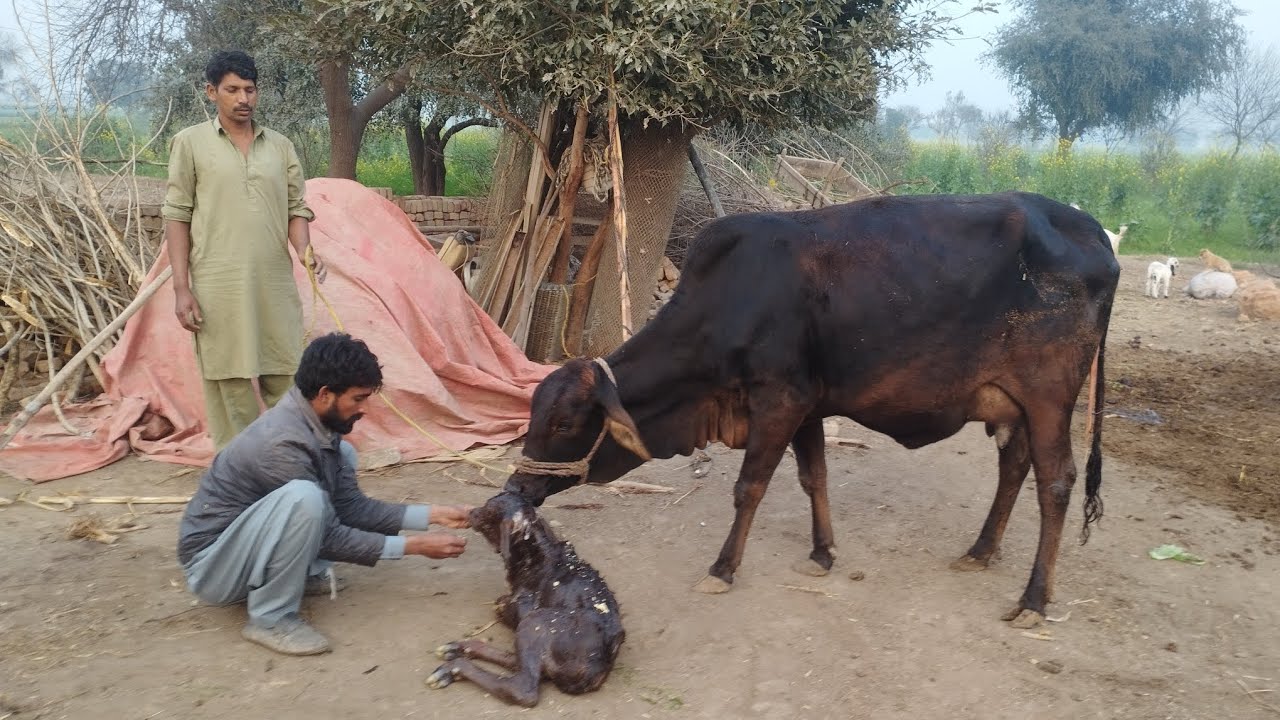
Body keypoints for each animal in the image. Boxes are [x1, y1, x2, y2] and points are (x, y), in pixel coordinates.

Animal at [503, 191, 1120, 628]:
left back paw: (1034, 599)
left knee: (1056, 483)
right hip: (1011, 403)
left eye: (563, 421)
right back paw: (980, 551)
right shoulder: (808, 408)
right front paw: (822, 553)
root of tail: (1093, 231)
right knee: (1013, 468)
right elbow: (813, 477)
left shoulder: (780, 400)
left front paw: (723, 569)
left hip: (1048, 396)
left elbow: (749, 487)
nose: (516, 488)